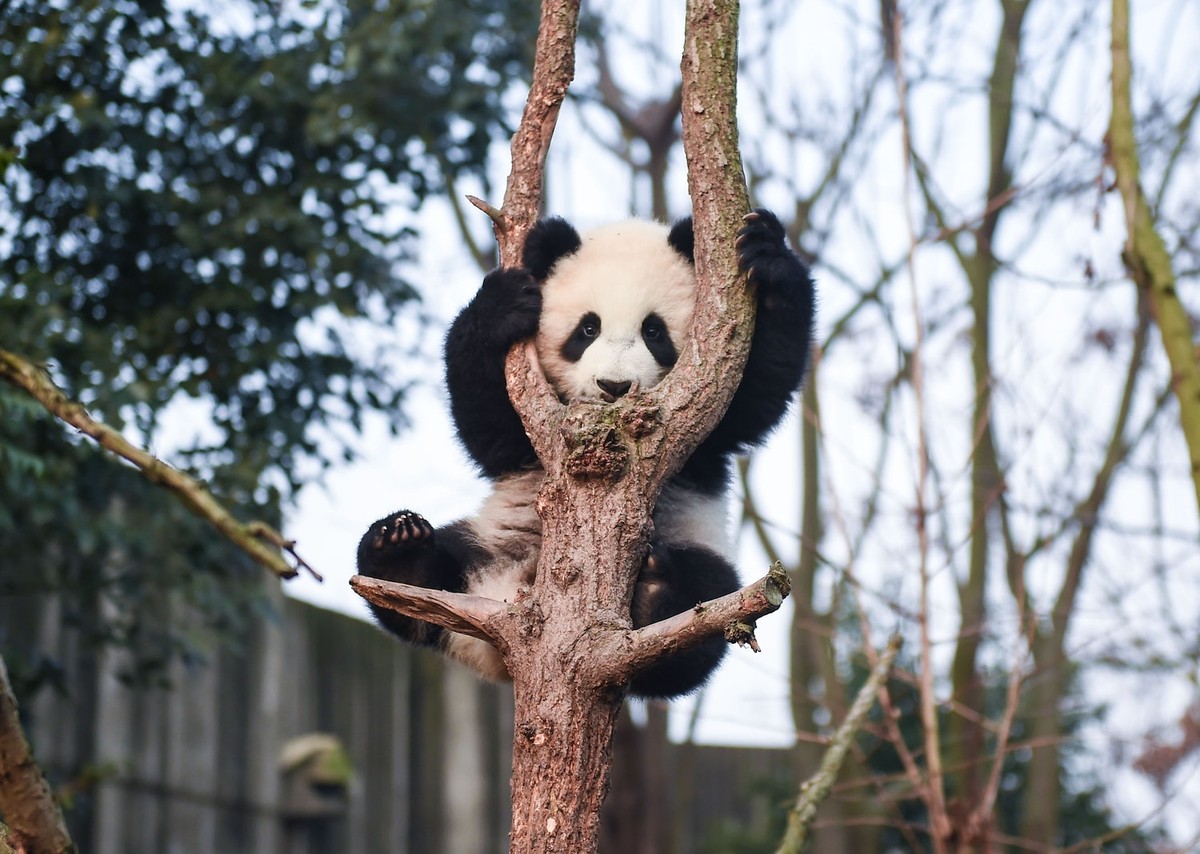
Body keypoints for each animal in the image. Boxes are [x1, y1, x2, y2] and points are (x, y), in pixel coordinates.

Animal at [357, 208, 815, 699]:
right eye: (587, 328)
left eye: (654, 331)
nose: (613, 386)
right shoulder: (529, 432)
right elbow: (487, 426)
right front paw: (502, 306)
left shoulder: (707, 429)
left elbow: (756, 394)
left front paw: (767, 255)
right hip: (489, 542)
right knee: (420, 574)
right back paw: (402, 550)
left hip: (698, 548)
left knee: (703, 606)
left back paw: (658, 593)